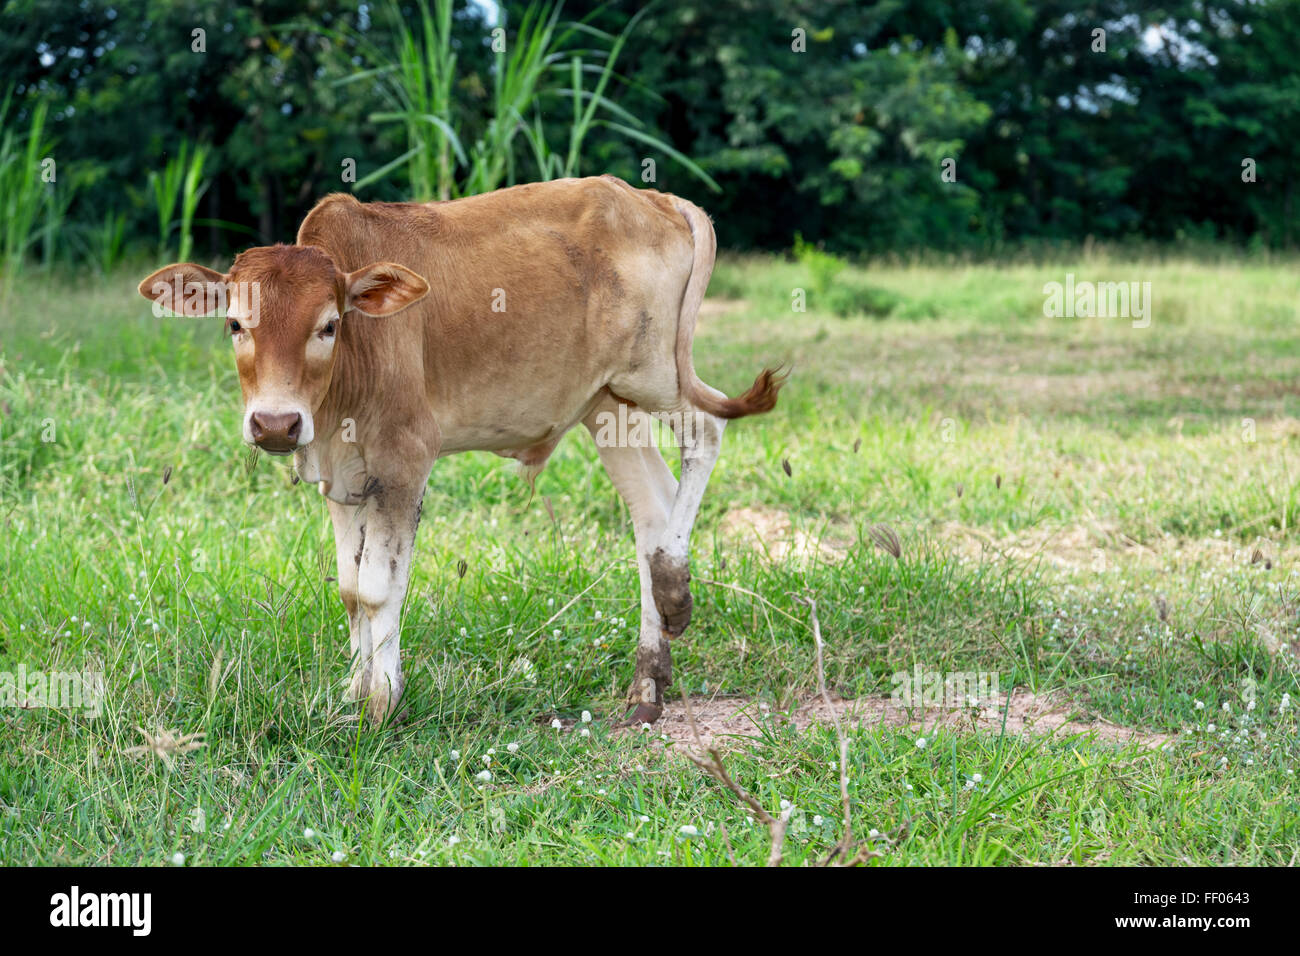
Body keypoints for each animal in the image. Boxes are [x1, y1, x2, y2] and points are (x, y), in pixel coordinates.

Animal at [138, 175, 784, 726]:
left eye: (328, 325)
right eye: (234, 325)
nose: (276, 423)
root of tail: (653, 197)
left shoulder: (404, 460)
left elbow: (377, 589)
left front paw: (380, 702)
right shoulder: (341, 479)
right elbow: (349, 590)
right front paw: (351, 691)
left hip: (654, 375)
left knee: (707, 431)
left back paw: (674, 587)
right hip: (607, 405)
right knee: (651, 508)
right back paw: (648, 681)